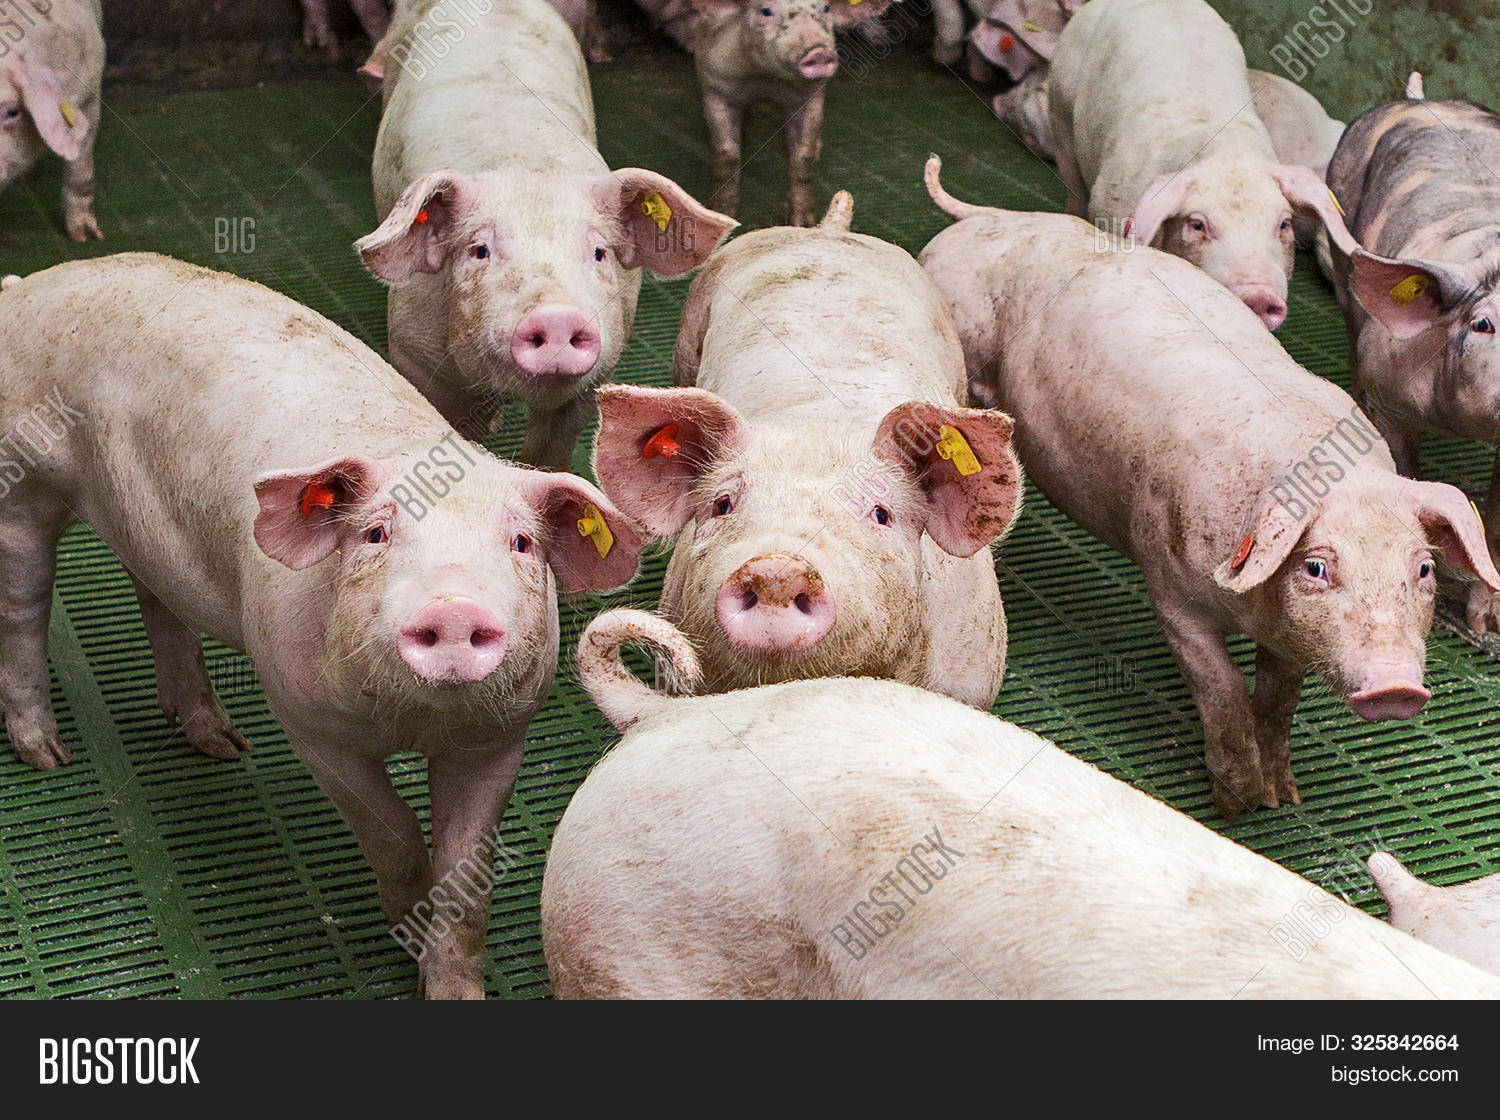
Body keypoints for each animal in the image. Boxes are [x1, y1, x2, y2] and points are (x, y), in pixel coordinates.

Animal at [0, 253, 644, 999]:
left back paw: (220, 743)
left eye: (519, 543)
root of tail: (29, 284)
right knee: (23, 607)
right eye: (374, 534)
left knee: (155, 597)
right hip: (20, 484)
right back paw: (47, 753)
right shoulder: (309, 722)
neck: (414, 722)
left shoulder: (500, 735)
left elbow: (469, 883)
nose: (453, 607)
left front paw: (449, 984)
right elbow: (393, 838)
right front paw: (405, 930)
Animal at [358, 0, 734, 471]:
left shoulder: (598, 372)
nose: (557, 314)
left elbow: (550, 451)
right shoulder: (415, 355)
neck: (524, 164)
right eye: (479, 250)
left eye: (599, 252)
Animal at [691, 0, 891, 227]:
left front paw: (803, 224)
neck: (765, 79)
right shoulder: (715, 86)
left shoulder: (811, 97)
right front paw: (723, 213)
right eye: (766, 11)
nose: (818, 51)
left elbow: (803, 155)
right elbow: (726, 154)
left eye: (826, 8)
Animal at [919, 157, 1500, 818]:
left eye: (1423, 569)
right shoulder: (1169, 586)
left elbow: (1279, 698)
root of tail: (988, 217)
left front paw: (1282, 797)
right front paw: (1238, 803)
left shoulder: (1287, 636)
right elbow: (1220, 687)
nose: (1396, 686)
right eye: (1317, 567)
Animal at [1048, 0, 1351, 331]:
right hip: (1060, 104)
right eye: (1197, 224)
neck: (1225, 154)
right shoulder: (1111, 204)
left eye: (1283, 224)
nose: (1258, 295)